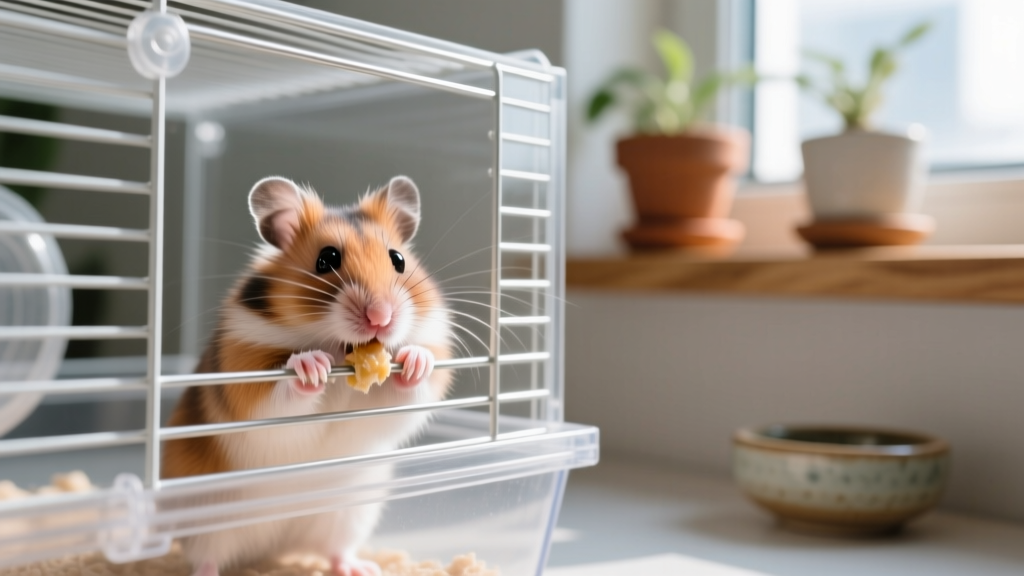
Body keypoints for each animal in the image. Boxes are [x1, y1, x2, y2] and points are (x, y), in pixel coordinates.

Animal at [163, 175, 453, 576]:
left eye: (398, 259)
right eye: (326, 259)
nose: (381, 317)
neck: (341, 349)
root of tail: (272, 550)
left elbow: (408, 392)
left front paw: (415, 360)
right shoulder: (246, 380)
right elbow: (276, 398)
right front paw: (312, 366)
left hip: (348, 514)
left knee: (334, 549)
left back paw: (361, 568)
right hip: (206, 519)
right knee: (207, 557)